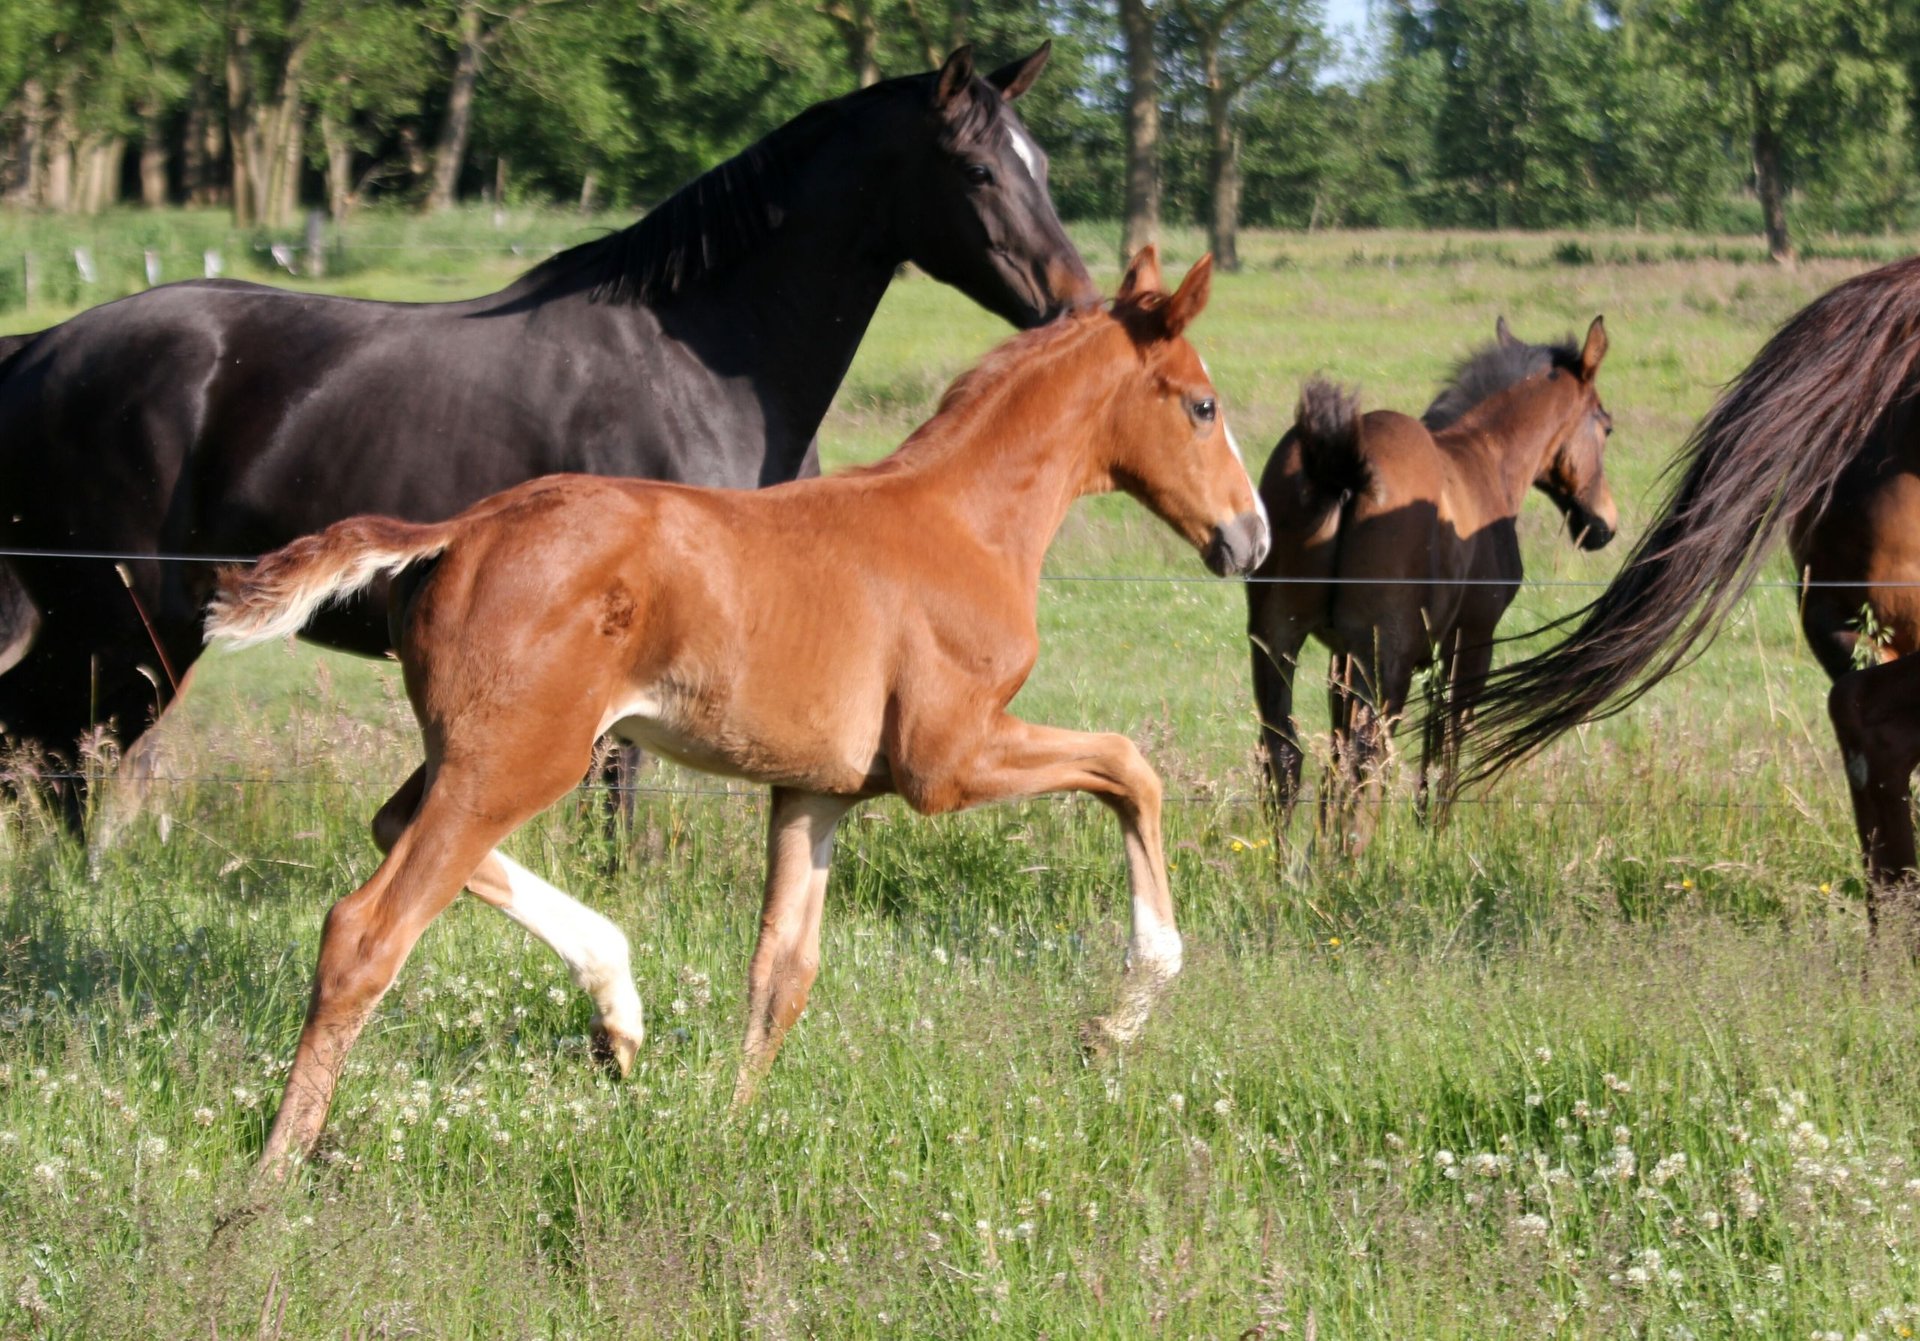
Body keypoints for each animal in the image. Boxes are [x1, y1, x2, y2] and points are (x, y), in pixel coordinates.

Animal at [0, 44, 1093, 831]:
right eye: (977, 167)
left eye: (1041, 162)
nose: (1075, 306)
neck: (697, 361)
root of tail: (42, 348)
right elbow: (621, 779)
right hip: (127, 631)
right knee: (60, 767)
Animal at [204, 247, 1268, 1169]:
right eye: (1203, 404)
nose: (1248, 537)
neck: (963, 522)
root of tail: (462, 528)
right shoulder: (948, 760)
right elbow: (1130, 766)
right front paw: (1120, 1014)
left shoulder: (817, 791)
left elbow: (781, 975)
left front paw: (728, 1125)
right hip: (511, 762)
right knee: (365, 932)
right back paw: (273, 1174)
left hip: (478, 751)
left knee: (391, 824)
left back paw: (619, 1013)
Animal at [1246, 317, 1615, 854]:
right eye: (1606, 426)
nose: (1603, 525)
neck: (1487, 460)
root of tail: (1342, 467)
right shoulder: (1472, 635)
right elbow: (1448, 736)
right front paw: (1434, 835)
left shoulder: (1342, 653)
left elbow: (1337, 745)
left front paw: (1327, 834)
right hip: (1386, 657)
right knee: (1368, 757)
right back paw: (1352, 860)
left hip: (1275, 638)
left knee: (1285, 752)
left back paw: (1288, 864)